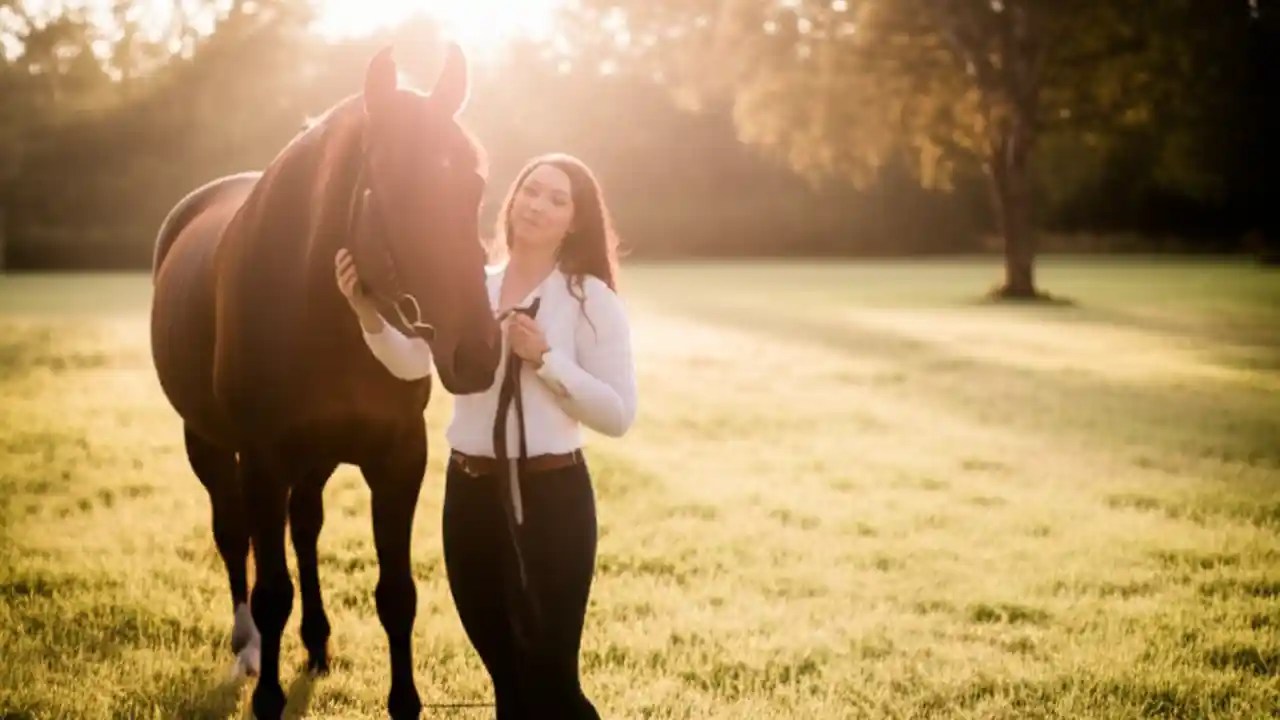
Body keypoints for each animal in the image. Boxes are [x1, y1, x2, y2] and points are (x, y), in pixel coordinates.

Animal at [149, 45, 501, 719]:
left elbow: (396, 593)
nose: (477, 354)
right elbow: (270, 591)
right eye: (396, 186)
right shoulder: (262, 461)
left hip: (312, 461)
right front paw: (268, 697)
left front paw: (404, 701)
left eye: (475, 185)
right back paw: (248, 649)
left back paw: (316, 644)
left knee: (305, 529)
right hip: (207, 445)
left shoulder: (398, 458)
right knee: (235, 538)